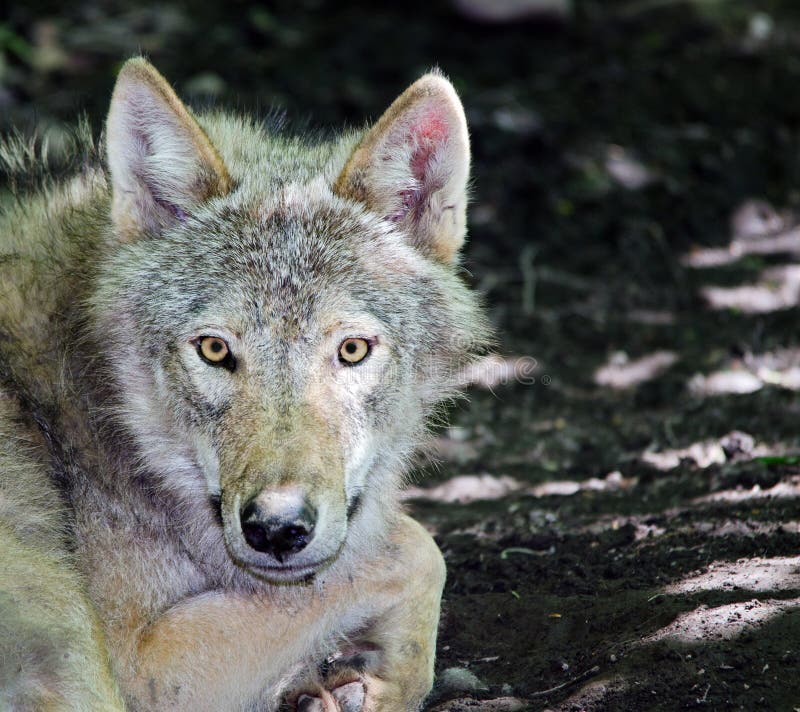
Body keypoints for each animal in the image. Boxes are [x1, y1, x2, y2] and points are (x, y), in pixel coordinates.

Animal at [0, 58, 491, 711]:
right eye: (214, 350)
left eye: (352, 350)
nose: (276, 529)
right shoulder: (146, 665)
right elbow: (416, 549)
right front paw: (382, 685)